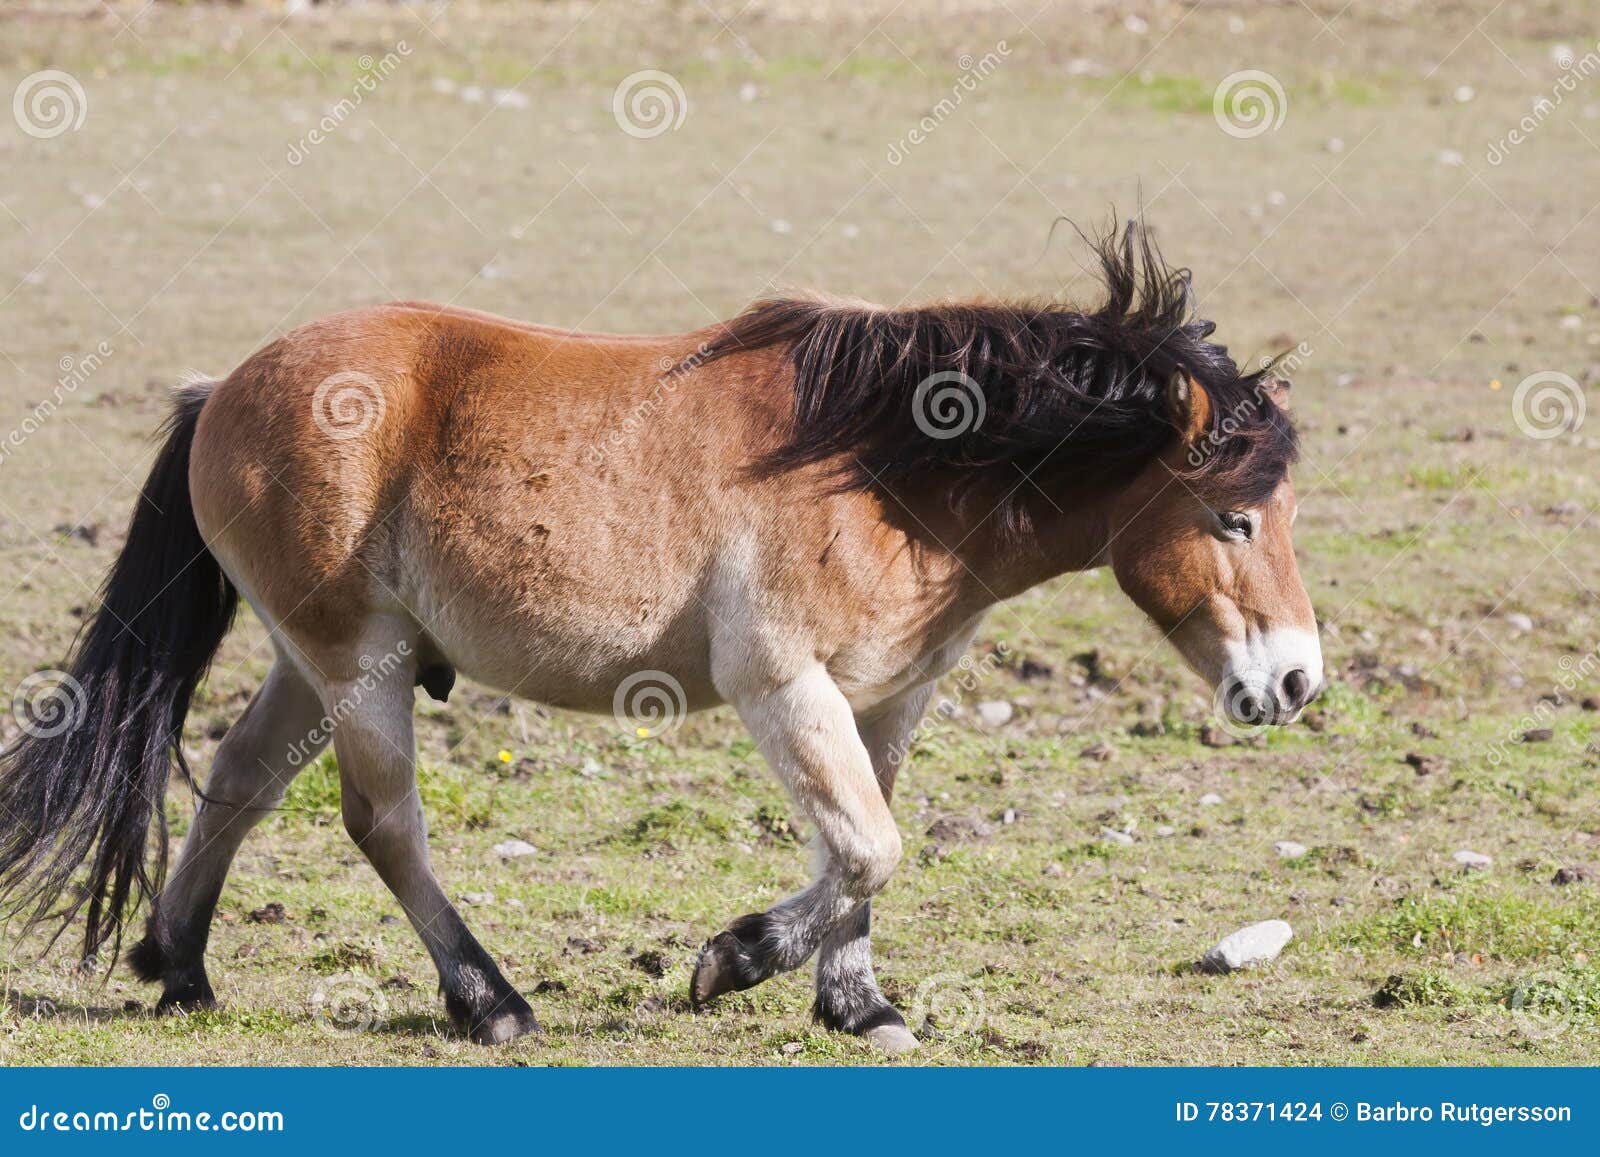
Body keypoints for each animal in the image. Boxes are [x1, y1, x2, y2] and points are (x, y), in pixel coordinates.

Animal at [0, 222, 1319, 1052]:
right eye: (1232, 515)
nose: (1296, 680)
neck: (885, 468)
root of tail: (223, 387)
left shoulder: (886, 699)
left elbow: (867, 850)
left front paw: (859, 1004)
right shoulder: (781, 684)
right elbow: (867, 847)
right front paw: (734, 957)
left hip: (310, 660)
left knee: (236, 782)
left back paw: (179, 968)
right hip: (356, 664)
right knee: (383, 824)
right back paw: (488, 1001)